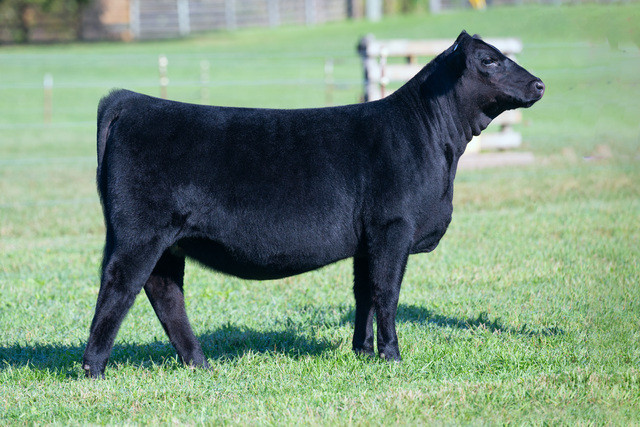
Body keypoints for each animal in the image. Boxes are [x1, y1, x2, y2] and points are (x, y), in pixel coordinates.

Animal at [82, 31, 544, 378]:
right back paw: (94, 370)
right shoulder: (393, 226)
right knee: (119, 286)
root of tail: (130, 101)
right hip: (140, 234)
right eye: (489, 60)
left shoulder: (366, 239)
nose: (539, 84)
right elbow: (387, 291)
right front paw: (392, 356)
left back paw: (200, 365)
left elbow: (364, 293)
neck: (433, 141)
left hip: (168, 242)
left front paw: (363, 353)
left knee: (164, 293)